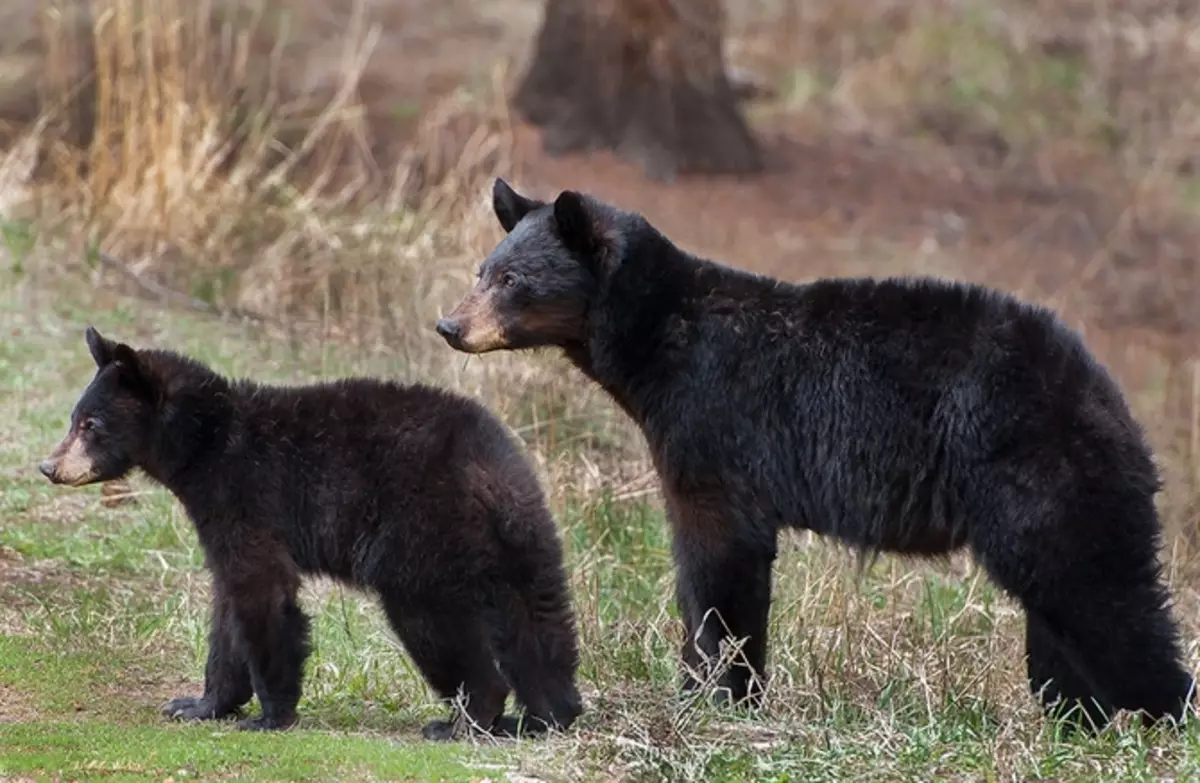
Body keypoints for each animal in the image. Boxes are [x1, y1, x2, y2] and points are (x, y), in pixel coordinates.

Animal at [37, 329, 580, 739]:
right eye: (75, 419)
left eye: (90, 424)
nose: (49, 467)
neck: (205, 444)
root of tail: (489, 469)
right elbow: (226, 607)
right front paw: (198, 703)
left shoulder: (245, 496)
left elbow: (262, 592)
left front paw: (270, 714)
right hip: (519, 539)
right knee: (537, 620)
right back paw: (548, 714)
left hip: (422, 533)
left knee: (435, 622)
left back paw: (466, 721)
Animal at [436, 180, 1195, 730]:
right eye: (483, 269)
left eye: (511, 280)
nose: (450, 325)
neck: (660, 339)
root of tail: (1109, 398)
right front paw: (704, 687)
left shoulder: (715, 422)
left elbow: (721, 560)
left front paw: (720, 692)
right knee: (1061, 614)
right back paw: (1078, 716)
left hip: (1036, 471)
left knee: (1100, 588)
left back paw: (1163, 710)